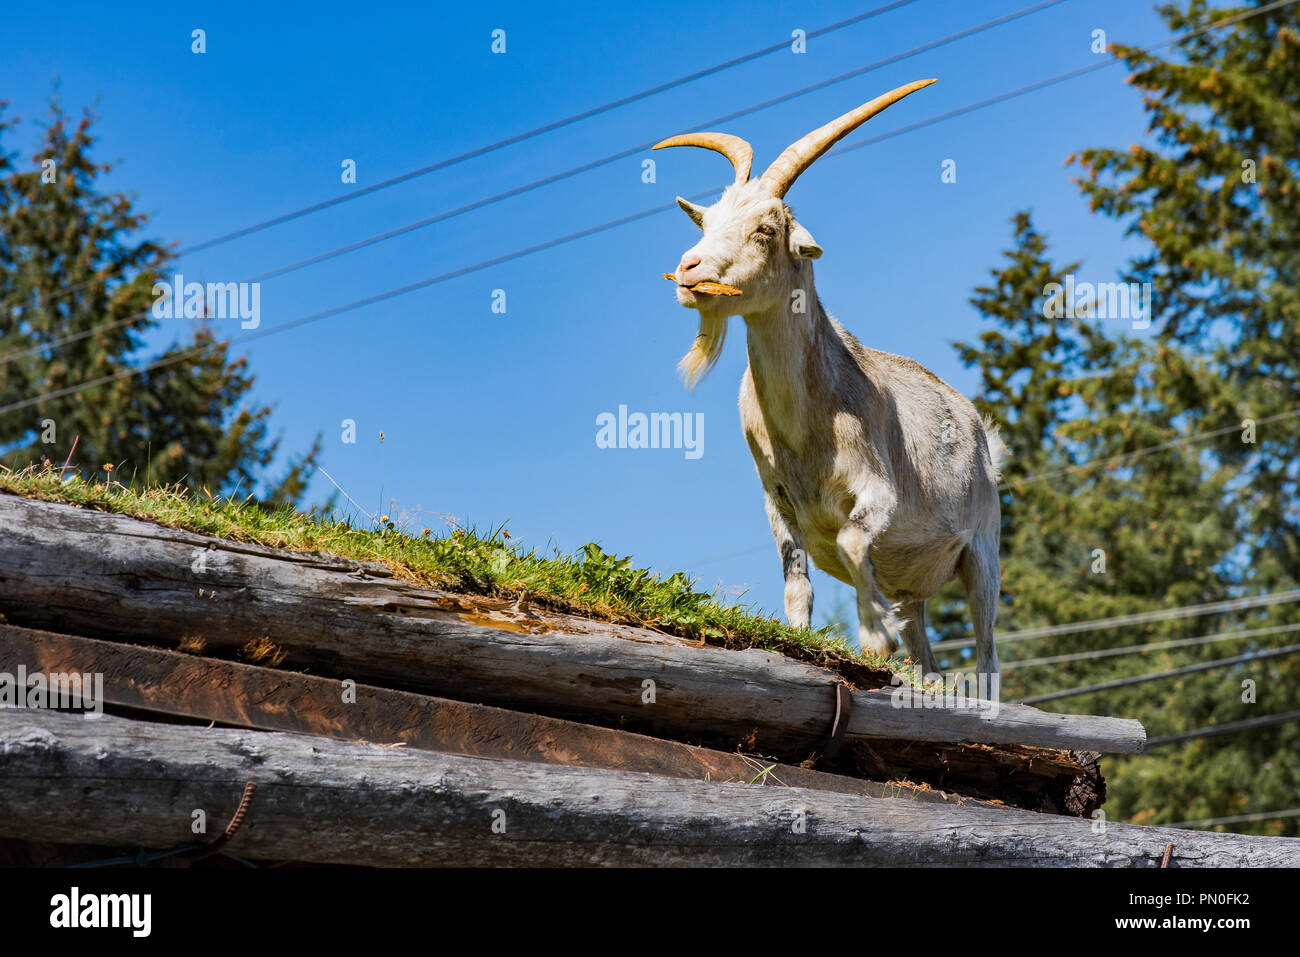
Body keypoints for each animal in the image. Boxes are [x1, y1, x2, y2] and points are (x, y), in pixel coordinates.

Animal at [655, 79, 1006, 691]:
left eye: (766, 229)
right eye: (707, 221)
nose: (689, 269)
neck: (804, 426)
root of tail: (982, 432)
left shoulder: (879, 491)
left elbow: (848, 540)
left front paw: (874, 636)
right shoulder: (777, 500)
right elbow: (797, 584)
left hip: (983, 550)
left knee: (988, 655)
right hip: (913, 583)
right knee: (925, 642)